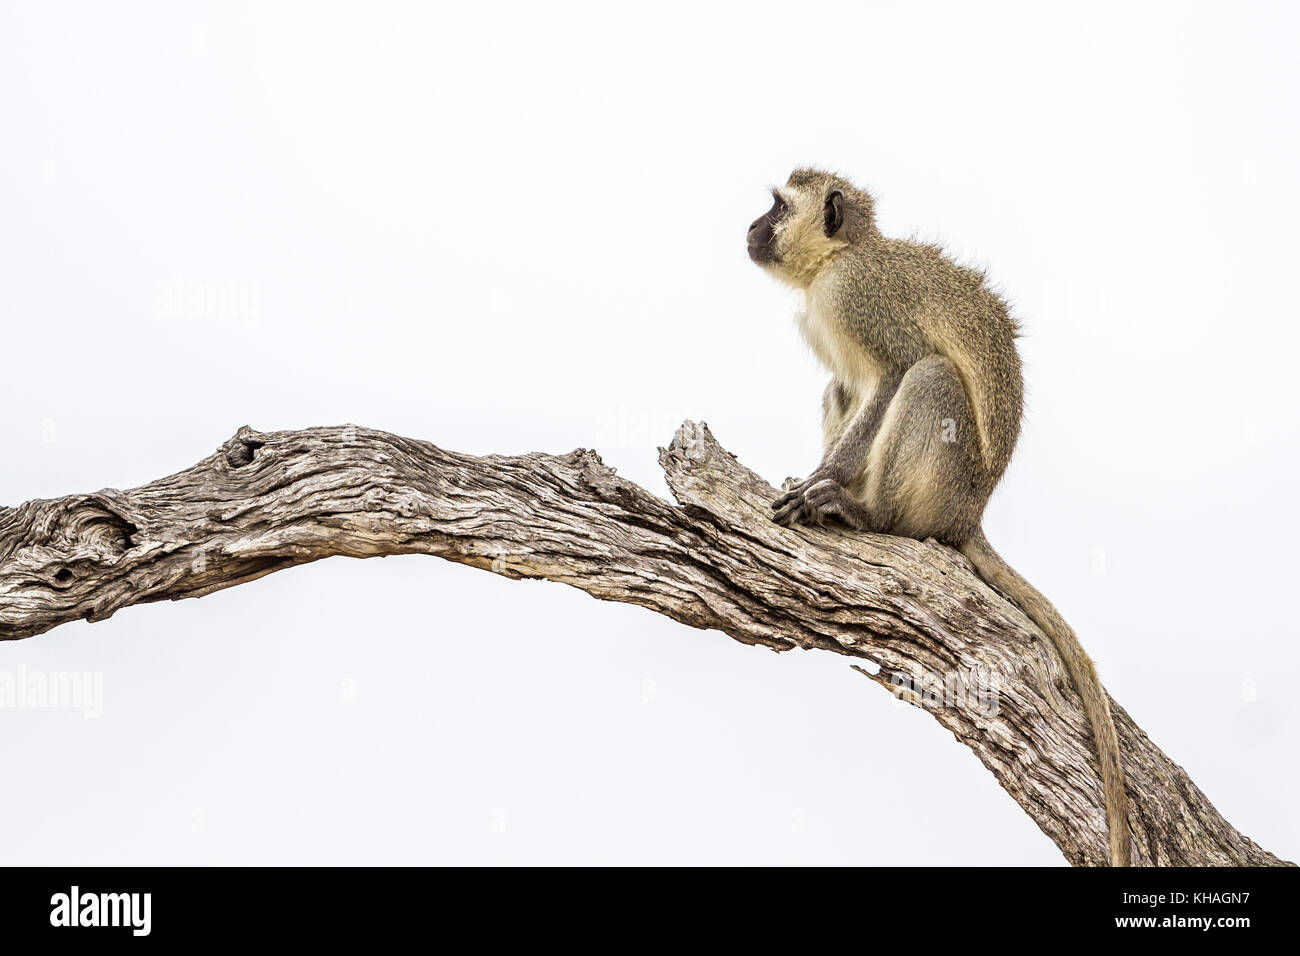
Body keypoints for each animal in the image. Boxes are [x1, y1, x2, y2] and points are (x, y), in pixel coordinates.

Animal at [747, 168, 1131, 867]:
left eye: (777, 207)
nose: (752, 227)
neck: (837, 259)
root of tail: (967, 515)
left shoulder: (858, 296)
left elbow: (897, 370)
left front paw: (820, 486)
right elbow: (850, 388)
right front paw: (811, 479)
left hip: (946, 482)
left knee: (930, 376)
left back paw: (866, 513)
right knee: (843, 387)